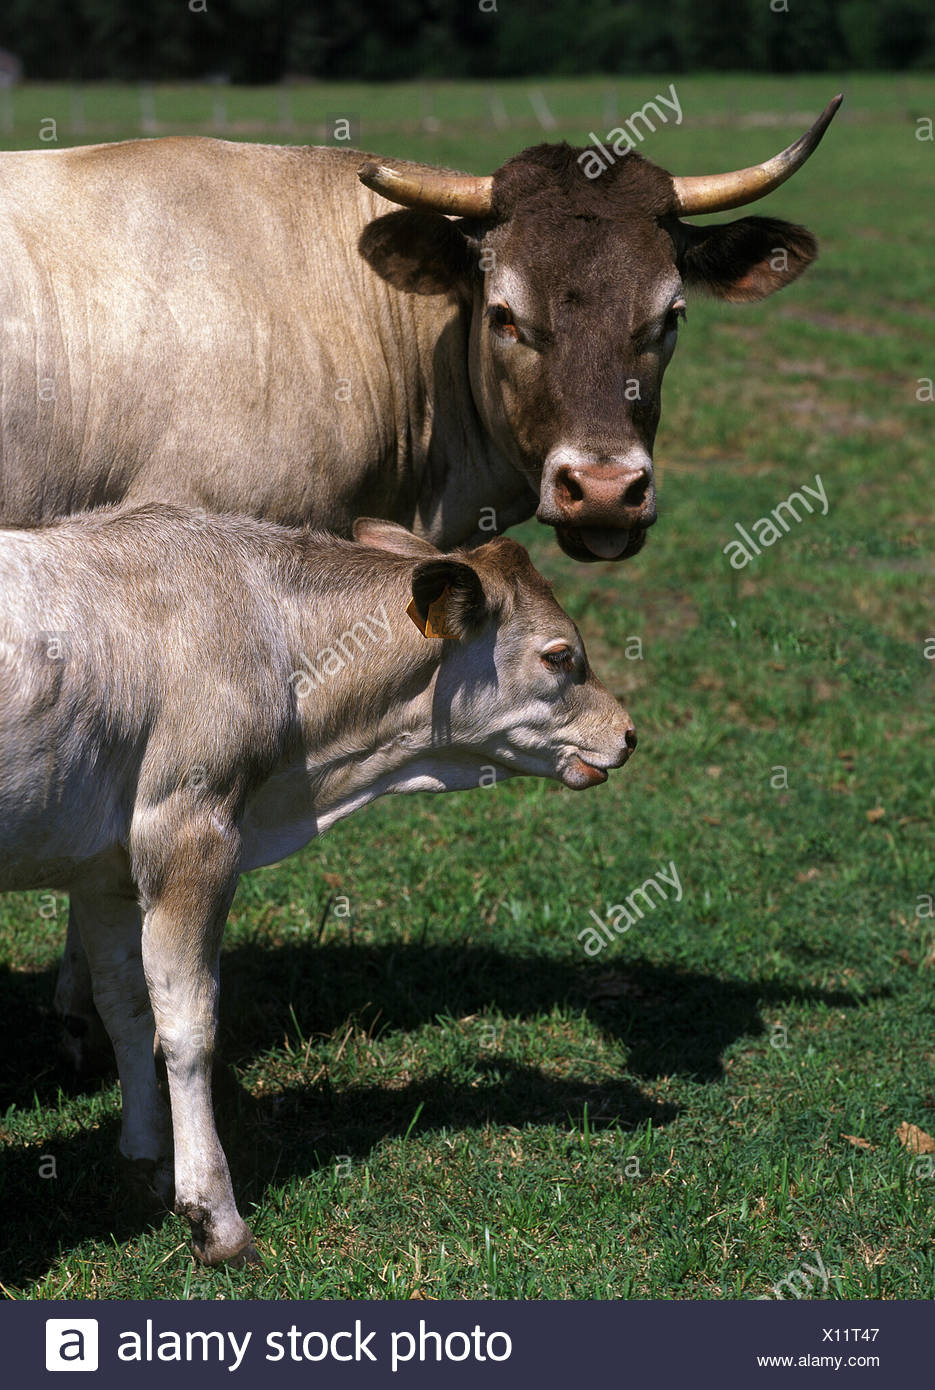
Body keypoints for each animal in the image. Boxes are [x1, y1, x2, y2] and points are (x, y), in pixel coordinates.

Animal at [0, 504, 636, 1265]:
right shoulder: (190, 829)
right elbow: (188, 1024)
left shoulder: (106, 866)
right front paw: (215, 1219)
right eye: (558, 655)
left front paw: (147, 1162)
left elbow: (125, 1007)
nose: (628, 733)